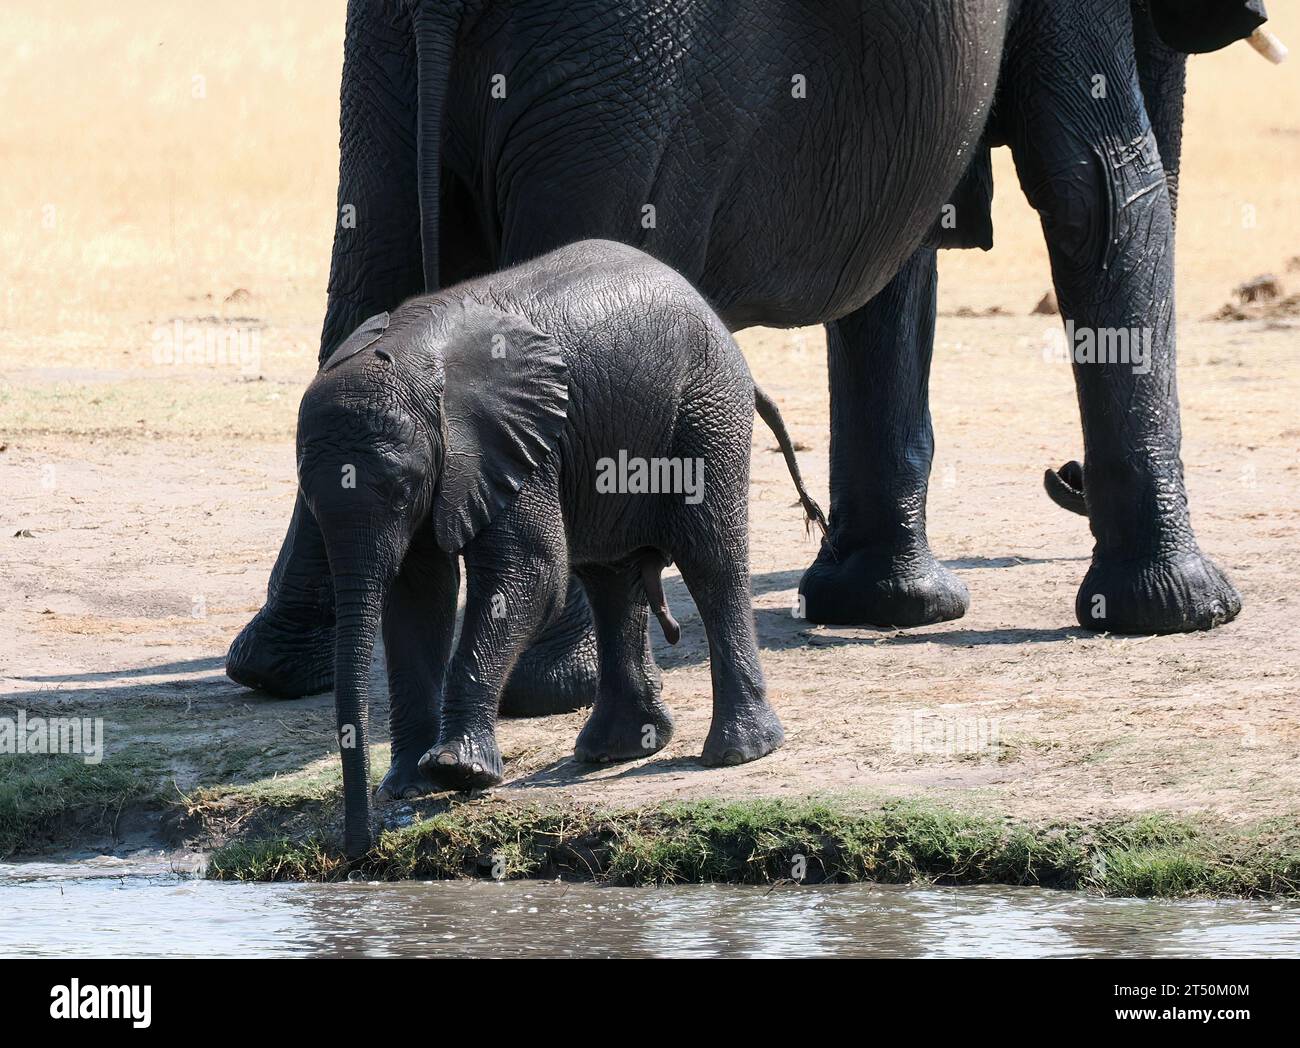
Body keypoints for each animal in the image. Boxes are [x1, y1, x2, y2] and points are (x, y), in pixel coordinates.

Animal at [227, 0, 1010, 708]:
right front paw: (910, 608)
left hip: (404, 70)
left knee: (370, 267)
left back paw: (278, 669)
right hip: (628, 79)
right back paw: (555, 690)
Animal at [298, 239, 828, 856]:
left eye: (403, 489)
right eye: (309, 504)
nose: (358, 849)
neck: (413, 352)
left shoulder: (516, 443)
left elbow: (530, 575)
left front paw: (455, 771)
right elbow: (417, 602)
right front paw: (407, 787)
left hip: (704, 411)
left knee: (709, 559)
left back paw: (736, 754)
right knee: (611, 579)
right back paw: (615, 749)